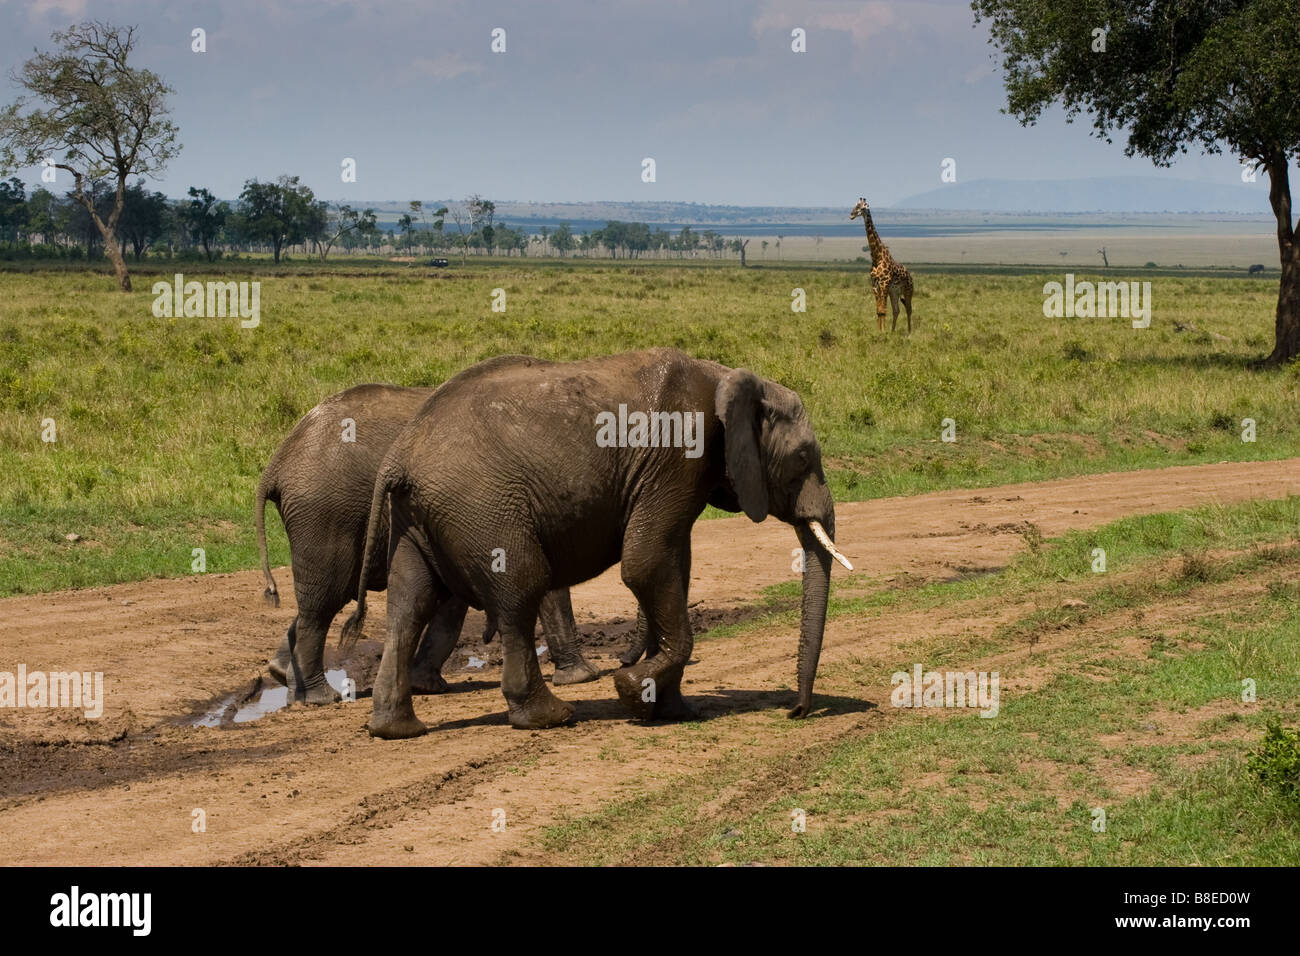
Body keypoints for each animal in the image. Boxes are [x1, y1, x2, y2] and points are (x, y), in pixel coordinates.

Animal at [254, 381, 600, 705]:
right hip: (326, 513)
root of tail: (276, 464)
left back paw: (283, 676)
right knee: (326, 598)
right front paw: (584, 677)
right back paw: (319, 697)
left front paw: (425, 685)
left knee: (323, 596)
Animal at [339, 349, 852, 739]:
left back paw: (395, 730)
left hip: (419, 516)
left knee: (410, 603)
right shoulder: (676, 456)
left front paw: (673, 711)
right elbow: (647, 565)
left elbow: (673, 567)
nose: (795, 711)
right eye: (803, 458)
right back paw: (549, 717)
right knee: (520, 591)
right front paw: (630, 692)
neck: (725, 376)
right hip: (481, 505)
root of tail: (399, 457)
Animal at [850, 197, 914, 333]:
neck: (876, 257)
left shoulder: (884, 284)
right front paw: (879, 331)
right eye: (855, 205)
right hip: (894, 292)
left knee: (909, 309)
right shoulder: (875, 284)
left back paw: (909, 332)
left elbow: (883, 310)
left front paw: (883, 331)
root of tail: (910, 275)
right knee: (896, 310)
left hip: (908, 290)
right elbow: (878, 310)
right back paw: (892, 331)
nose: (851, 215)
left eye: (862, 207)